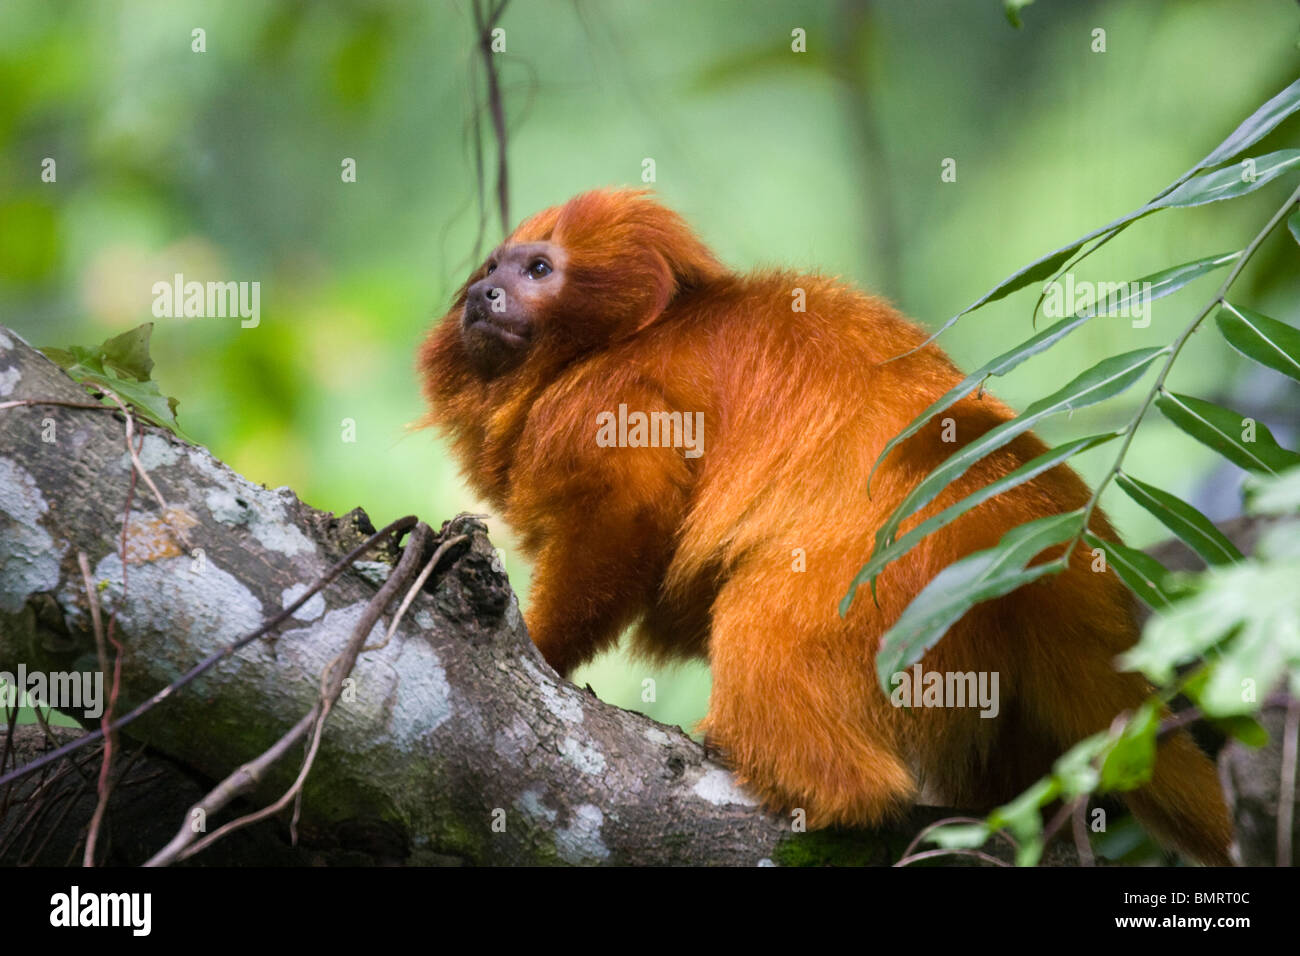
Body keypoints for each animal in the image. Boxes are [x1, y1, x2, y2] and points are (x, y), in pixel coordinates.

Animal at [419, 188, 1233, 865]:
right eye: (490, 266)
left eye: (538, 268)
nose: (485, 293)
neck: (608, 344)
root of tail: (1031, 532)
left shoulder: (611, 404)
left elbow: (627, 515)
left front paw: (544, 647)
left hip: (884, 584)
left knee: (766, 624)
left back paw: (806, 783)